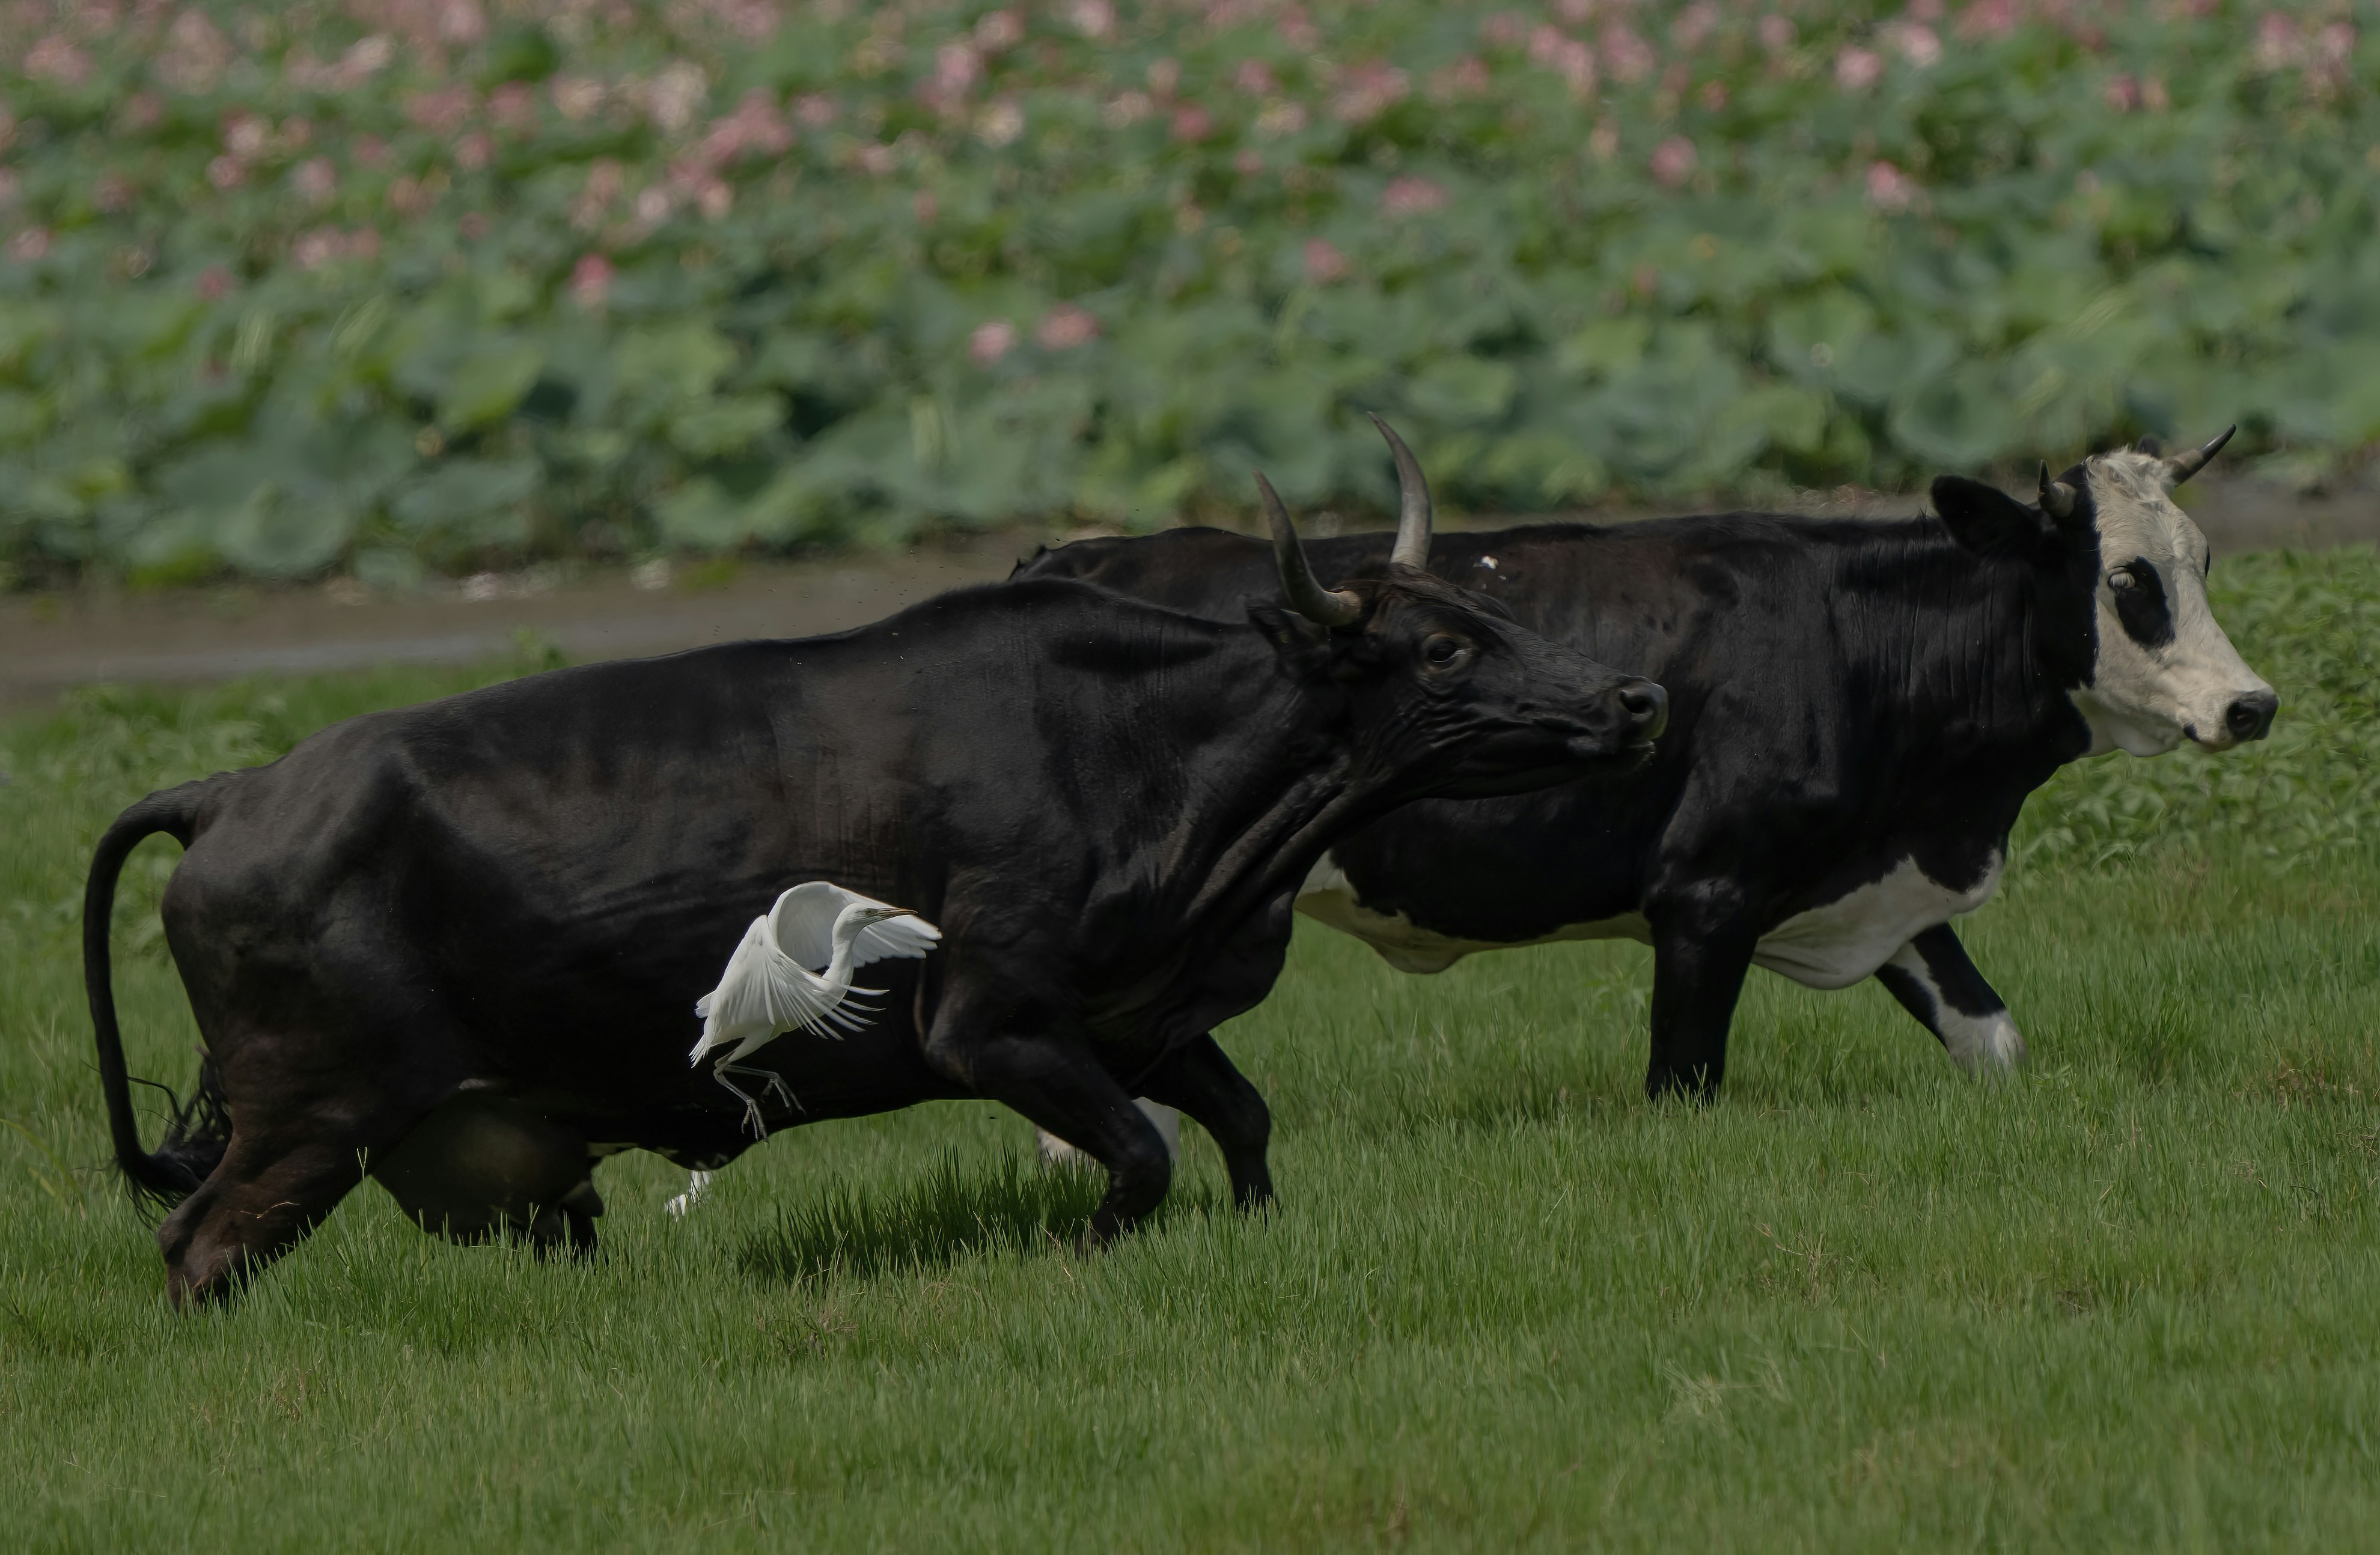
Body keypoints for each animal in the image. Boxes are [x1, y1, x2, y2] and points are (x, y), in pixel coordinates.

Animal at [83, 452, 1667, 1304]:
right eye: (1444, 648)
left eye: (1479, 611)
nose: (1638, 698)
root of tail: (236, 791)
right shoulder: (992, 1020)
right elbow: (1142, 1157)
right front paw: (1090, 1258)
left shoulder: (1140, 1017)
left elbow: (1243, 1125)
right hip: (309, 1114)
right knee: (196, 1241)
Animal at [1016, 431, 2276, 1104]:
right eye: (2126, 581)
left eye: (2206, 560)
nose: (2250, 703)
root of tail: (1082, 553)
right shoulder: (1706, 894)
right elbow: (1685, 1080)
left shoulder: (1879, 890)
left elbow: (1993, 1037)